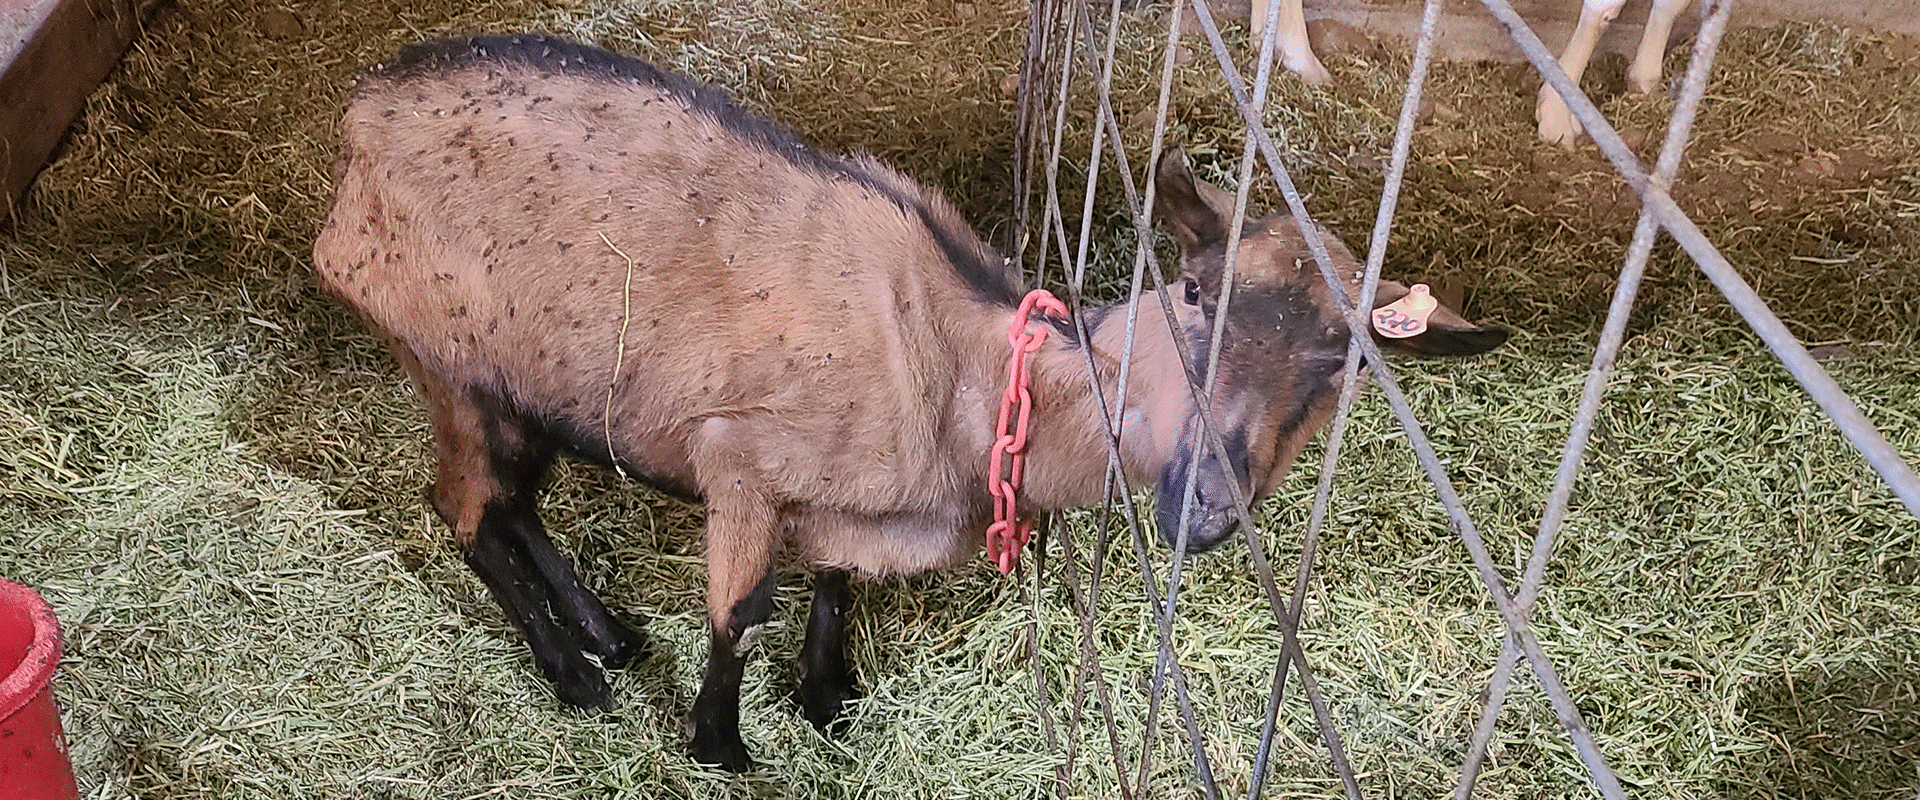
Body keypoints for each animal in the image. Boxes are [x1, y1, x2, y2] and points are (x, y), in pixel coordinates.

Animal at [313, 34, 1508, 772]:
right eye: (1195, 288)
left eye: (1350, 363)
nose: (1208, 503)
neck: (975, 374)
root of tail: (362, 109)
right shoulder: (741, 459)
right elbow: (741, 612)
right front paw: (721, 745)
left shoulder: (854, 497)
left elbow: (837, 579)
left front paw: (827, 693)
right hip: (445, 352)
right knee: (470, 513)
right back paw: (573, 674)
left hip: (525, 384)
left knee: (514, 503)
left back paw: (608, 635)